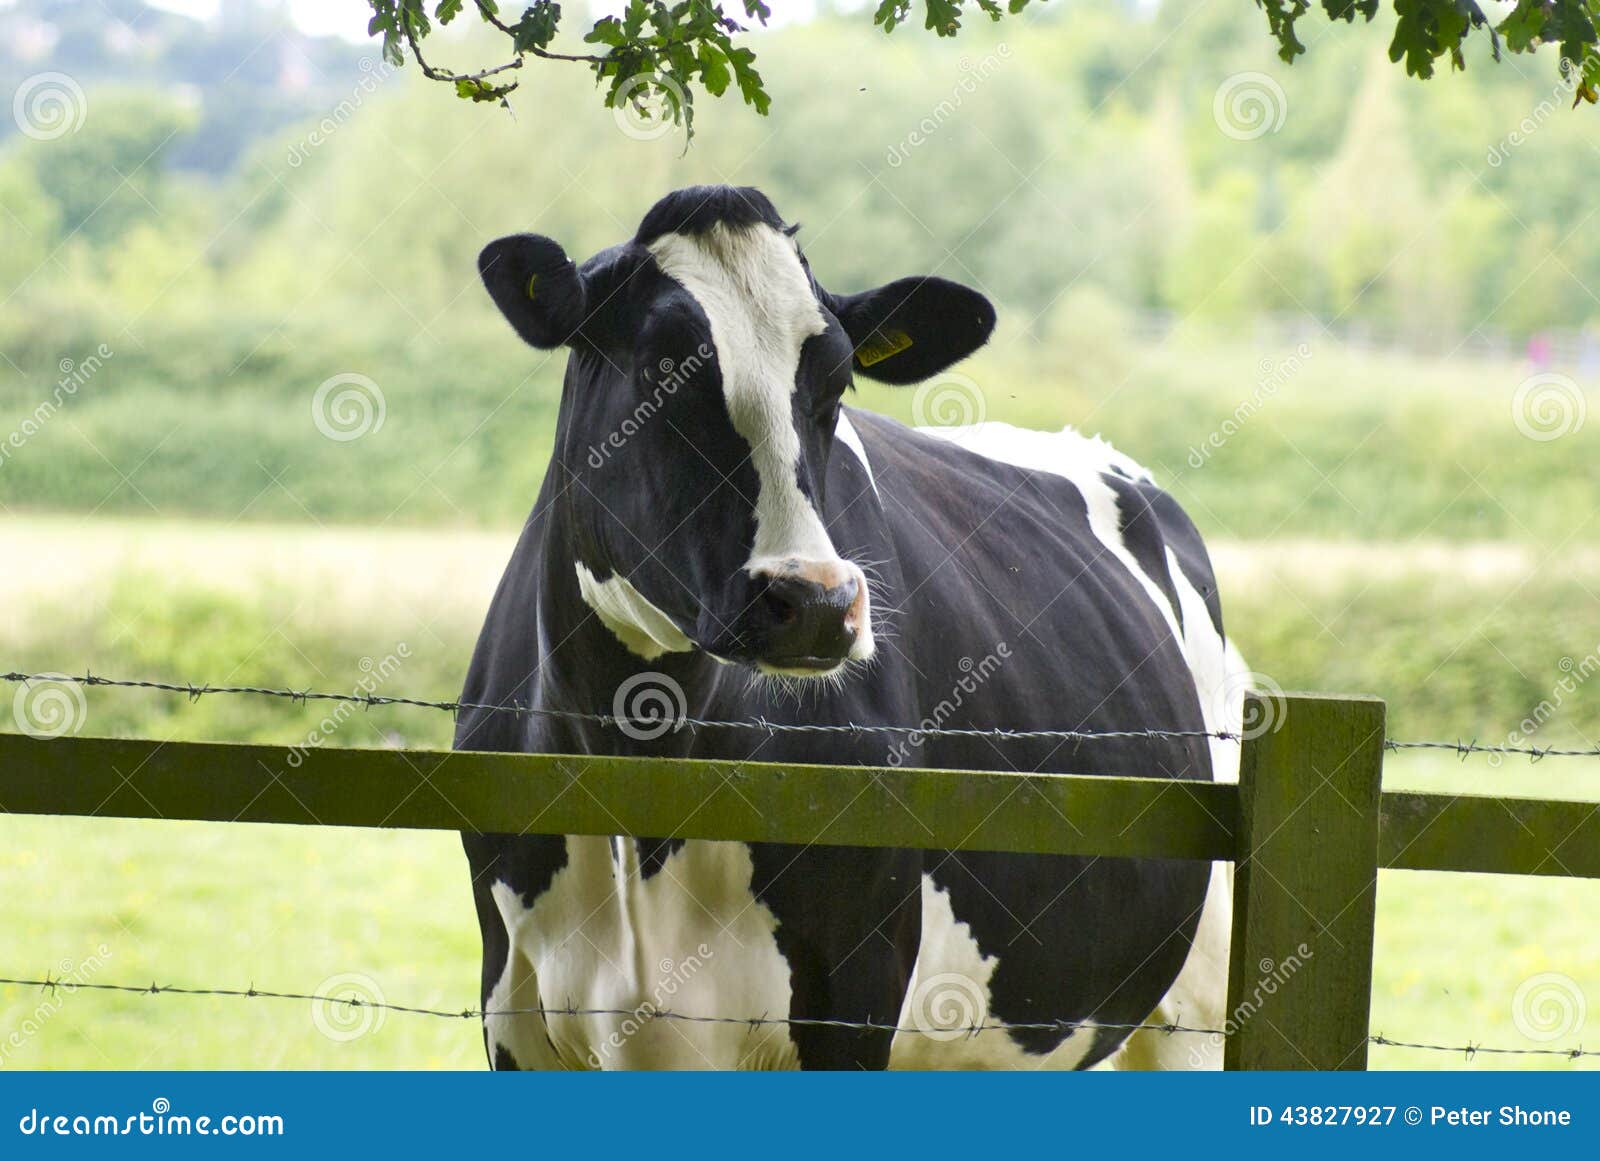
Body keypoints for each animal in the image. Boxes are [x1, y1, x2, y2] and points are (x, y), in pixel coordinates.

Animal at [455, 185, 1247, 1070]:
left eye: (835, 384)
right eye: (662, 366)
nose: (816, 602)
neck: (636, 763)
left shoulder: (855, 997)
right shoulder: (510, 1010)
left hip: (1196, 998)